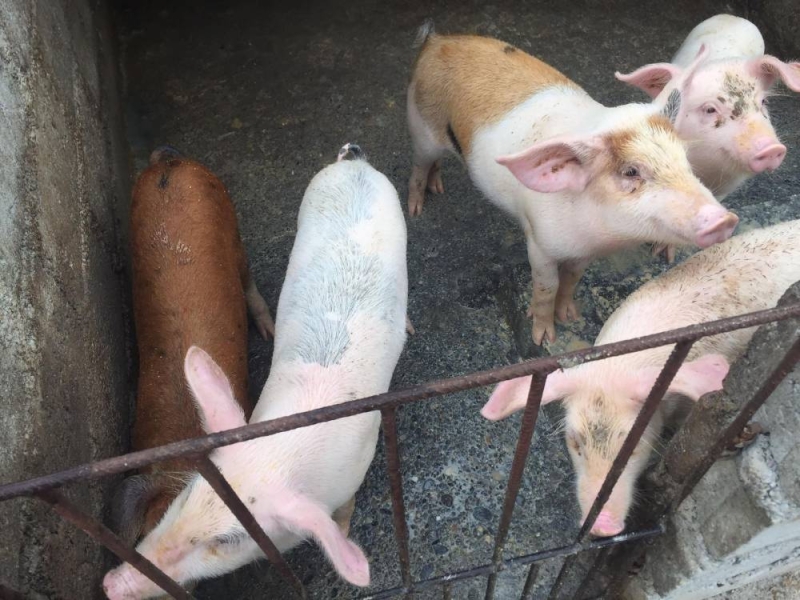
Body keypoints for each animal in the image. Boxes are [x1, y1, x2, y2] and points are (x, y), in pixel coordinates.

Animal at [406, 23, 738, 345]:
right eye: (631, 171)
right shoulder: (539, 242)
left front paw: (570, 315)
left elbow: (573, 277)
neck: (595, 236)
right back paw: (416, 209)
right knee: (419, 167)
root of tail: (436, 41)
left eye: (684, 157)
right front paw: (543, 337)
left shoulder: (586, 252)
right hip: (421, 130)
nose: (725, 219)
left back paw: (438, 187)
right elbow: (547, 286)